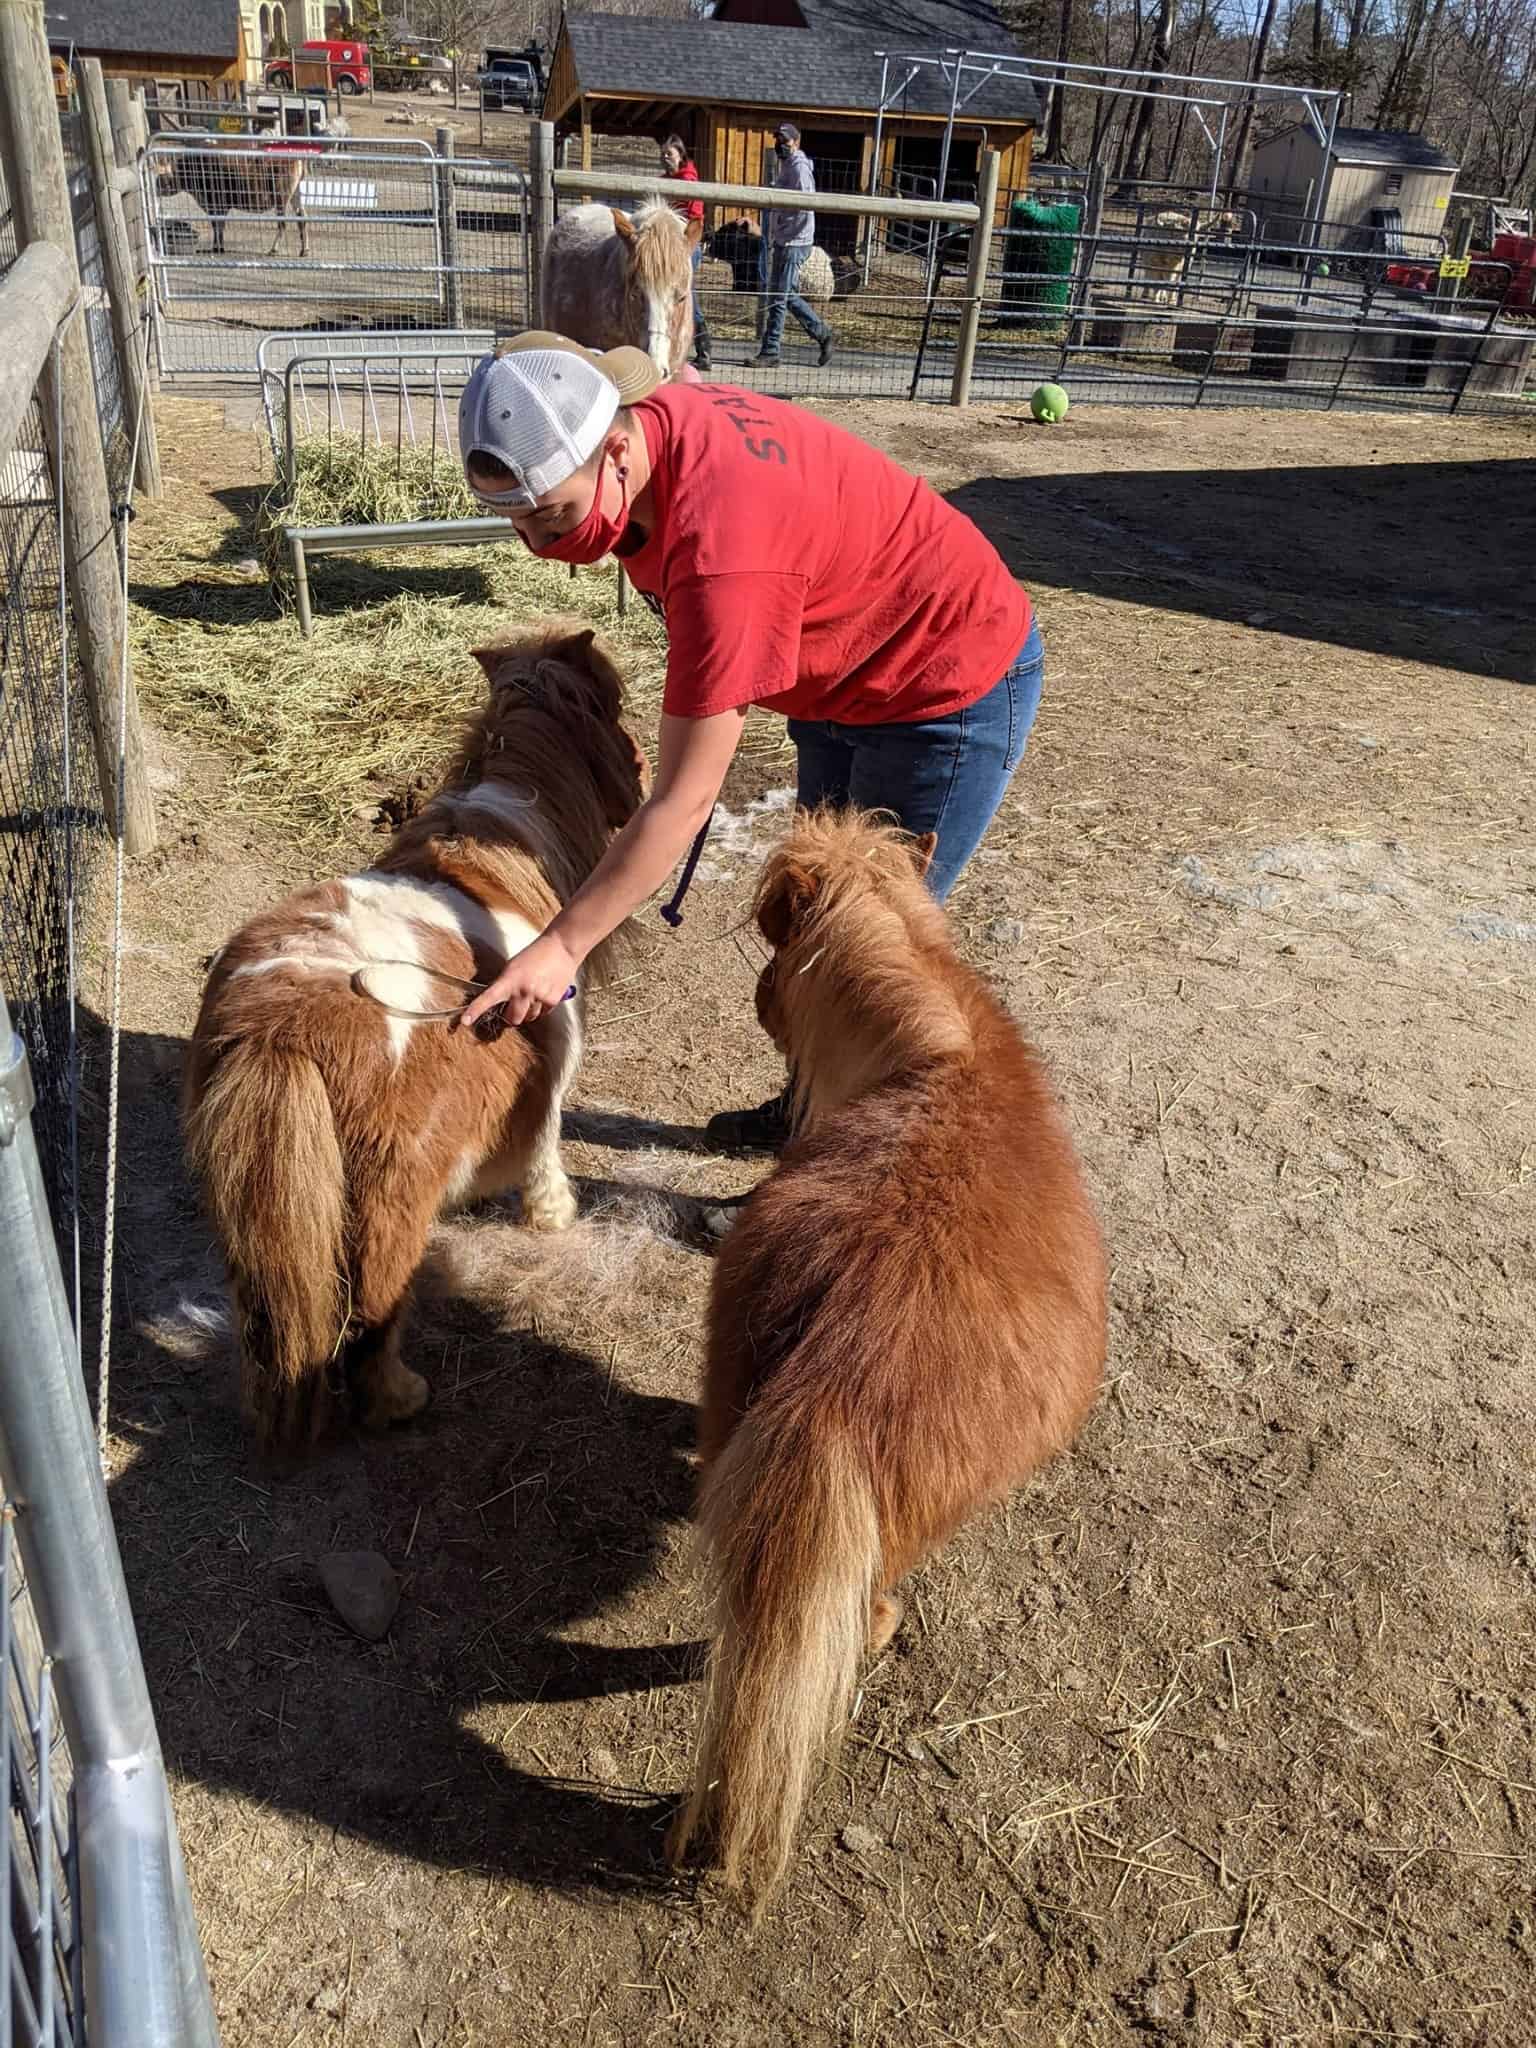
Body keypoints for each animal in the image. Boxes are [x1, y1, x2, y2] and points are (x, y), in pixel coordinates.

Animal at [183, 623, 648, 1457]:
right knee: (372, 1311)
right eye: (614, 704)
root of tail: (277, 1027)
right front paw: (551, 1214)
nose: (645, 777)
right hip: (388, 1204)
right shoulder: (554, 1079)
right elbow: (546, 1150)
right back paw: (399, 1398)